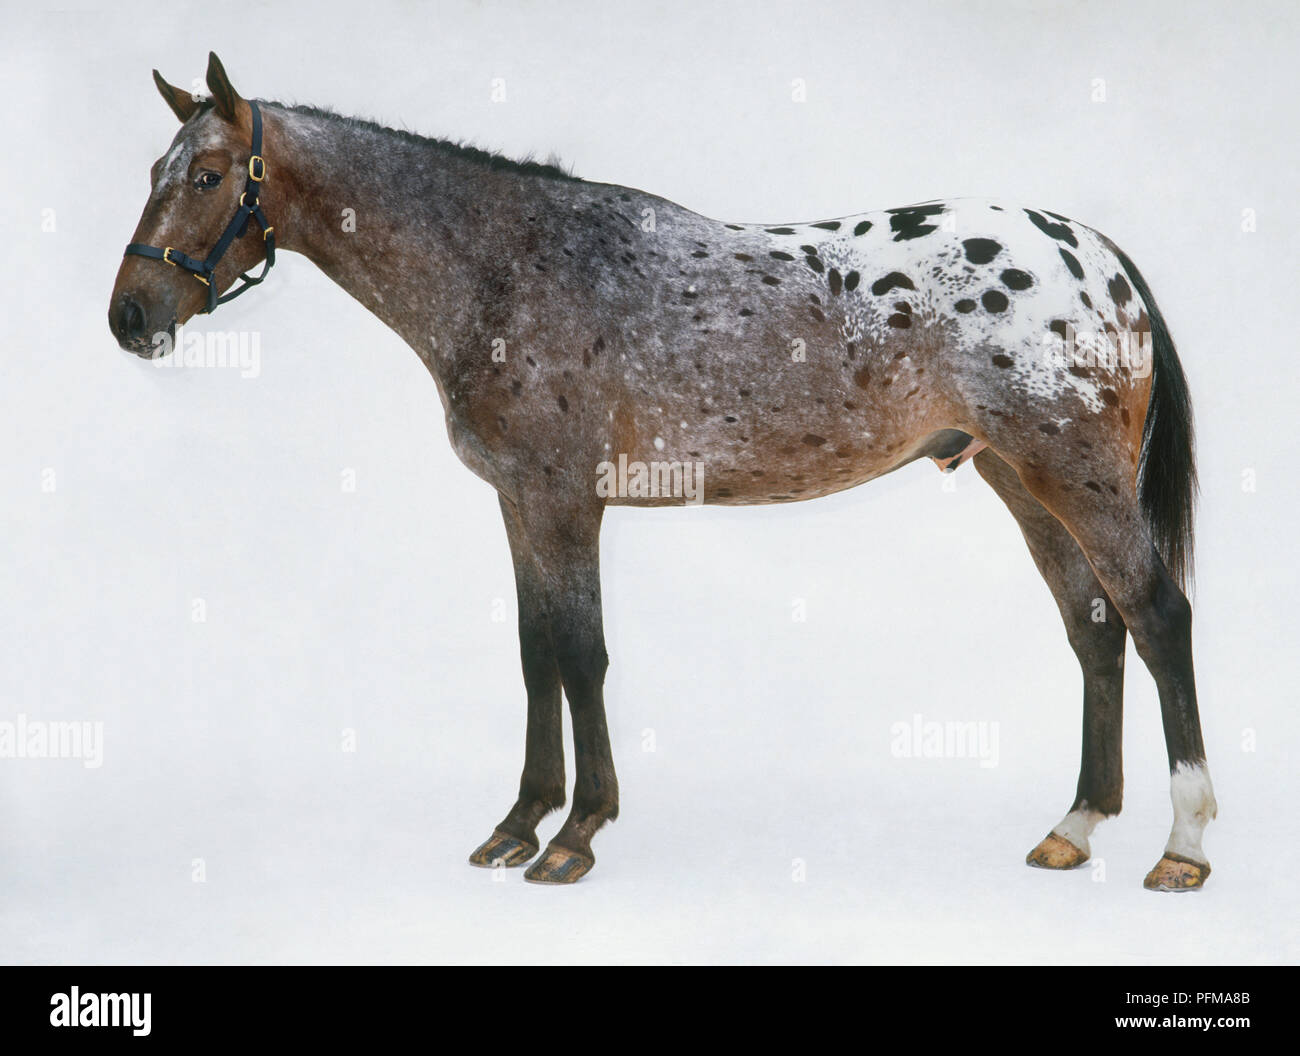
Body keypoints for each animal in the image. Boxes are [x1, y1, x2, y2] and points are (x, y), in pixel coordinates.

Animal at [110, 53, 1216, 889]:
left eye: (208, 175)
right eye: (157, 167)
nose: (129, 315)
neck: (508, 267)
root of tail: (1097, 254)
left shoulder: (565, 502)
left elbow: (582, 656)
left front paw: (574, 836)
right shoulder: (520, 503)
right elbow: (535, 655)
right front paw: (518, 823)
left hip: (1075, 481)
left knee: (1157, 618)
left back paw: (1182, 848)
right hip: (1021, 483)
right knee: (1094, 629)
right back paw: (1074, 827)